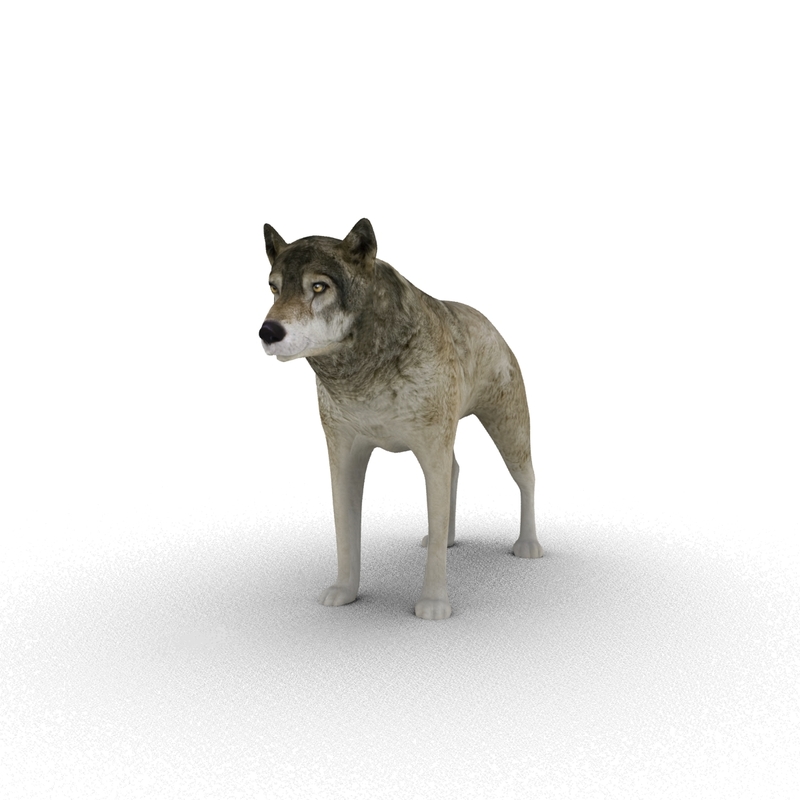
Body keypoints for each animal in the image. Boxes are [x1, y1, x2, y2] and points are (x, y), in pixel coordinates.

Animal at [259, 219, 542, 620]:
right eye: (274, 287)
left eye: (318, 286)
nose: (268, 332)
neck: (364, 373)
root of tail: (488, 323)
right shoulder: (343, 452)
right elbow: (345, 533)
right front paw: (344, 592)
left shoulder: (431, 450)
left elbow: (436, 534)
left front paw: (434, 605)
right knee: (456, 473)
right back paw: (451, 540)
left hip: (508, 430)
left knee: (528, 479)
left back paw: (528, 545)